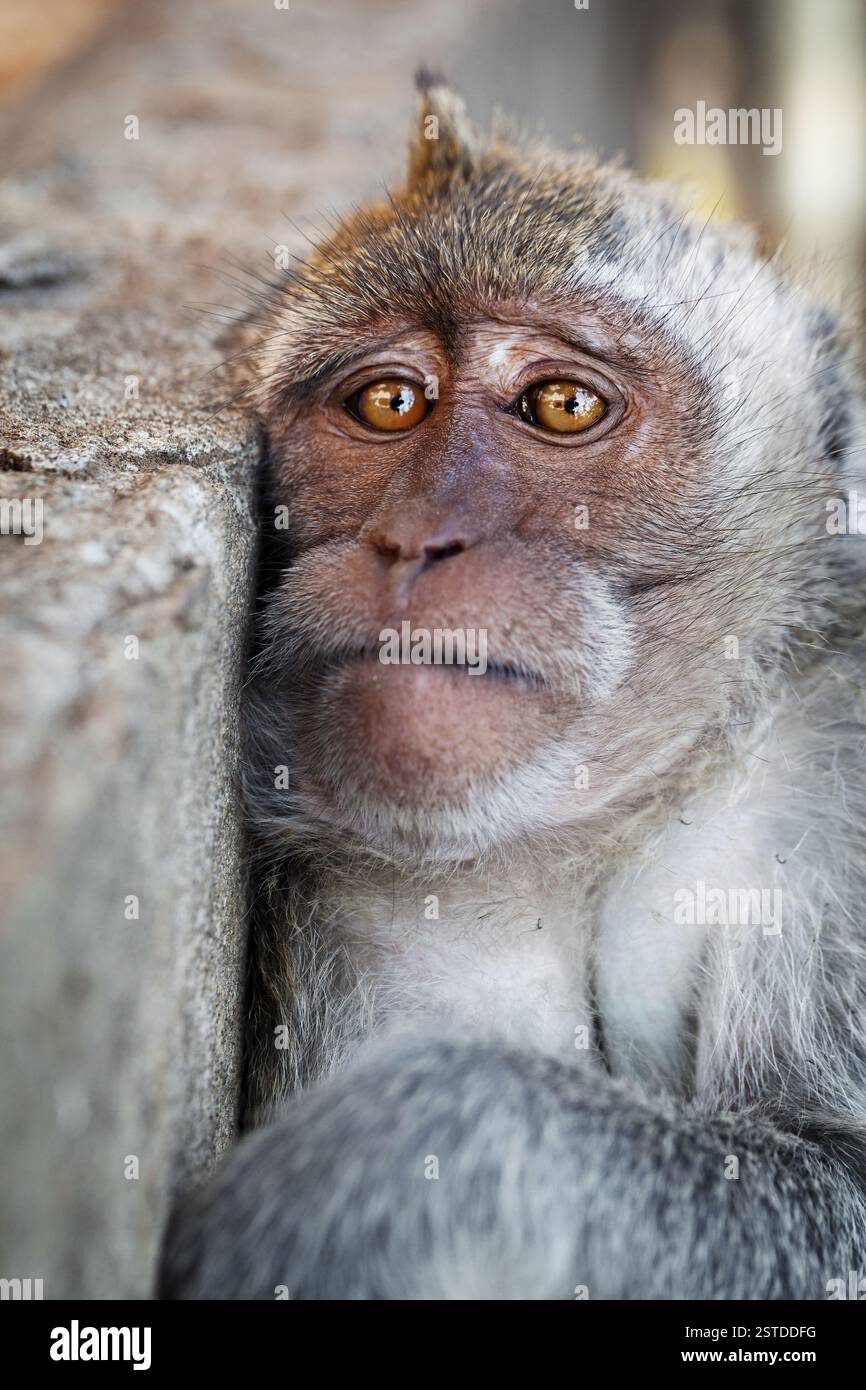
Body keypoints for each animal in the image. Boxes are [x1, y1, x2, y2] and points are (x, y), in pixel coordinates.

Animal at [160, 73, 866, 1300]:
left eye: (562, 406)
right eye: (389, 402)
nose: (416, 540)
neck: (586, 830)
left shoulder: (835, 769)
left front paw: (371, 1166)